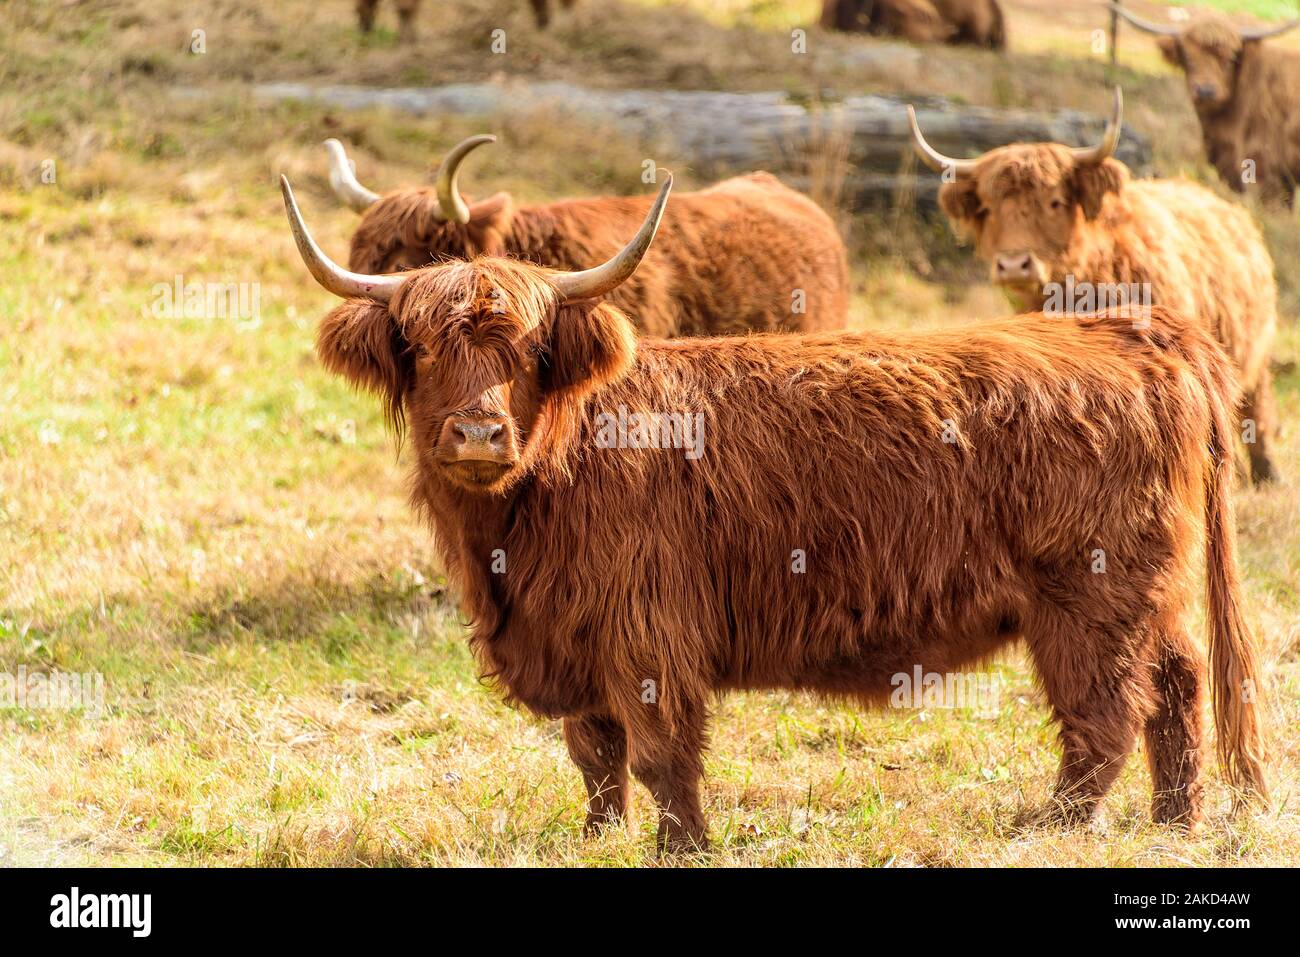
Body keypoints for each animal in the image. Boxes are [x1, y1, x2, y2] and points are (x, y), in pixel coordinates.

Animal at [280, 171, 1268, 851]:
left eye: (528, 350)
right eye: (417, 345)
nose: (480, 433)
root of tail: (1136, 330)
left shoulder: (648, 629)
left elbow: (659, 751)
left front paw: (682, 847)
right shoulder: (575, 633)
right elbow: (594, 754)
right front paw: (598, 840)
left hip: (1089, 598)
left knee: (1107, 713)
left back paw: (1052, 826)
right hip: (1145, 594)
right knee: (1178, 687)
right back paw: (1174, 822)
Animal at [909, 88, 1281, 483]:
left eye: (1055, 202)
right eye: (989, 209)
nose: (1013, 264)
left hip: (1254, 347)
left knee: (1256, 402)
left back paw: (1266, 472)